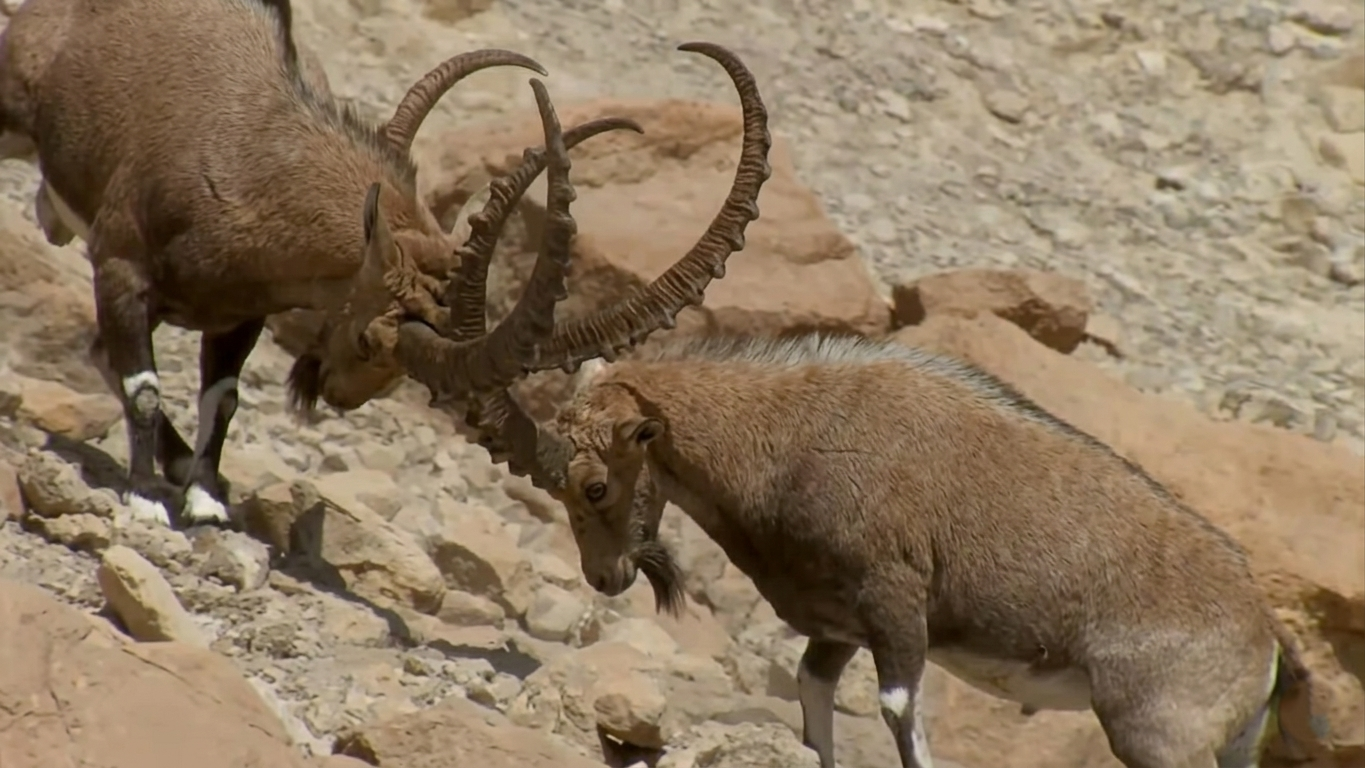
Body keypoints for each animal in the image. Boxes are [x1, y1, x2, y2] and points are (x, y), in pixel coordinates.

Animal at [0, 0, 589, 527]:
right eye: (368, 340)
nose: (340, 396)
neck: (250, 160)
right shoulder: (120, 271)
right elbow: (143, 388)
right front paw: (143, 497)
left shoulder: (238, 317)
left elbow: (223, 399)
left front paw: (206, 500)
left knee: (102, 351)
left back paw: (181, 460)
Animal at [452, 328, 1330, 768]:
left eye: (594, 484)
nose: (605, 577)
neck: (796, 436)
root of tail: (1263, 633)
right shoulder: (837, 628)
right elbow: (814, 709)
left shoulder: (895, 605)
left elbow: (900, 719)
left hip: (1156, 738)